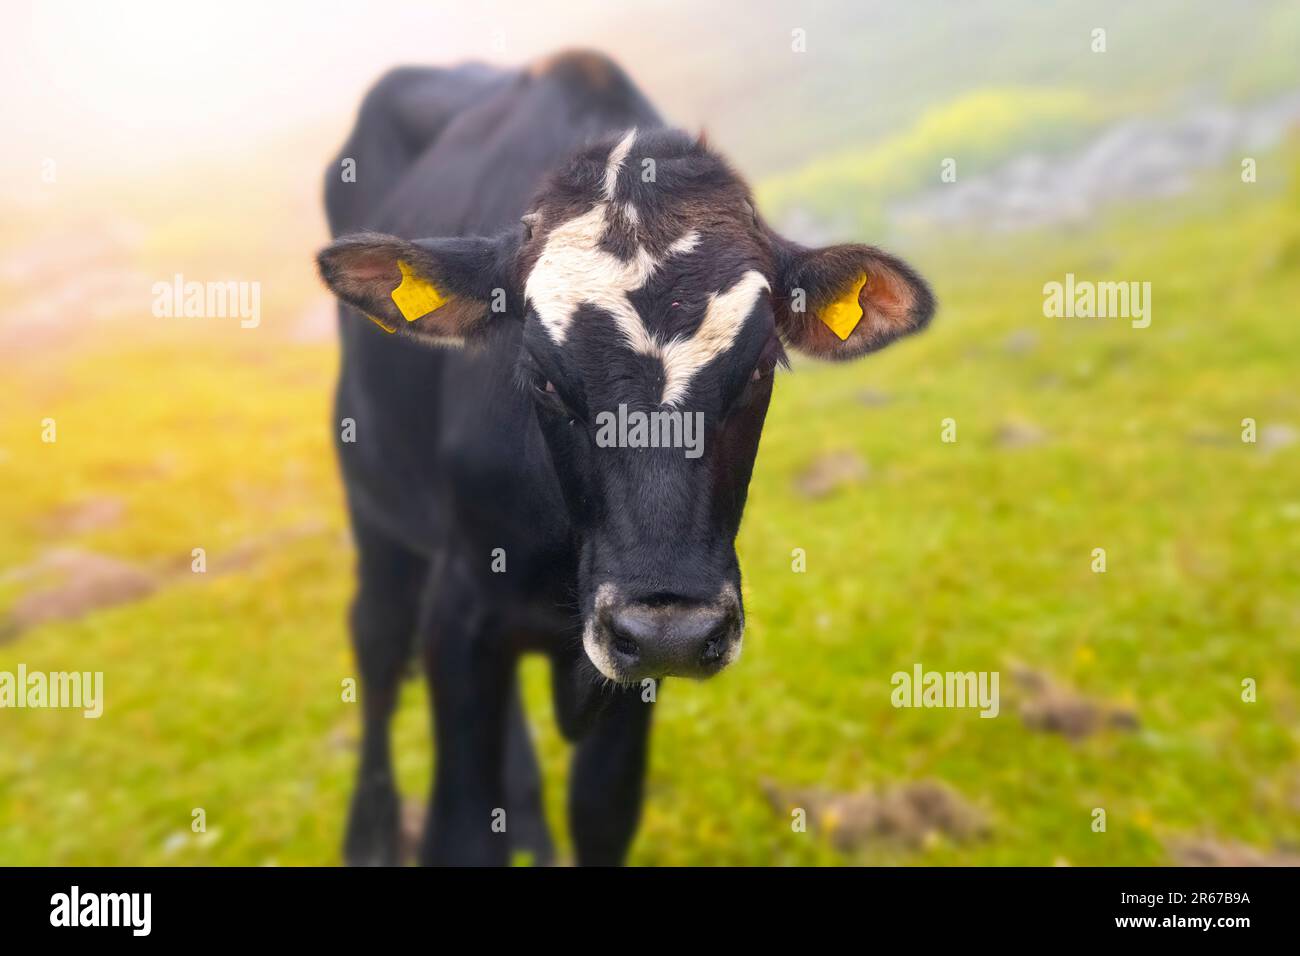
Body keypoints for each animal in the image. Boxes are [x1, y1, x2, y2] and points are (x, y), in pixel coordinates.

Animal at [317, 51, 935, 866]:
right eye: (541, 374)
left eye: (760, 365)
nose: (671, 631)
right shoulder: (460, 608)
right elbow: (460, 831)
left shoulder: (631, 674)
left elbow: (602, 811)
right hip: (375, 505)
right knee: (377, 648)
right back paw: (370, 831)